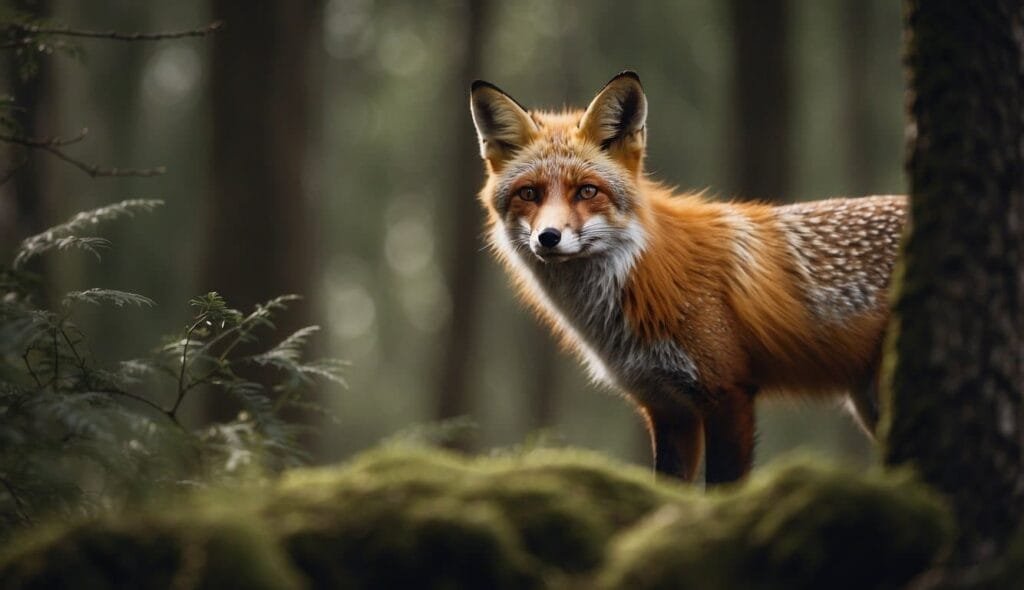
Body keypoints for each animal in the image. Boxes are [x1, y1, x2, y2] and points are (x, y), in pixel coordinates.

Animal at [468, 71, 907, 485]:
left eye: (587, 191)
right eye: (529, 193)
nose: (548, 237)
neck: (640, 278)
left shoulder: (727, 392)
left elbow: (722, 487)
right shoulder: (666, 406)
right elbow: (668, 485)